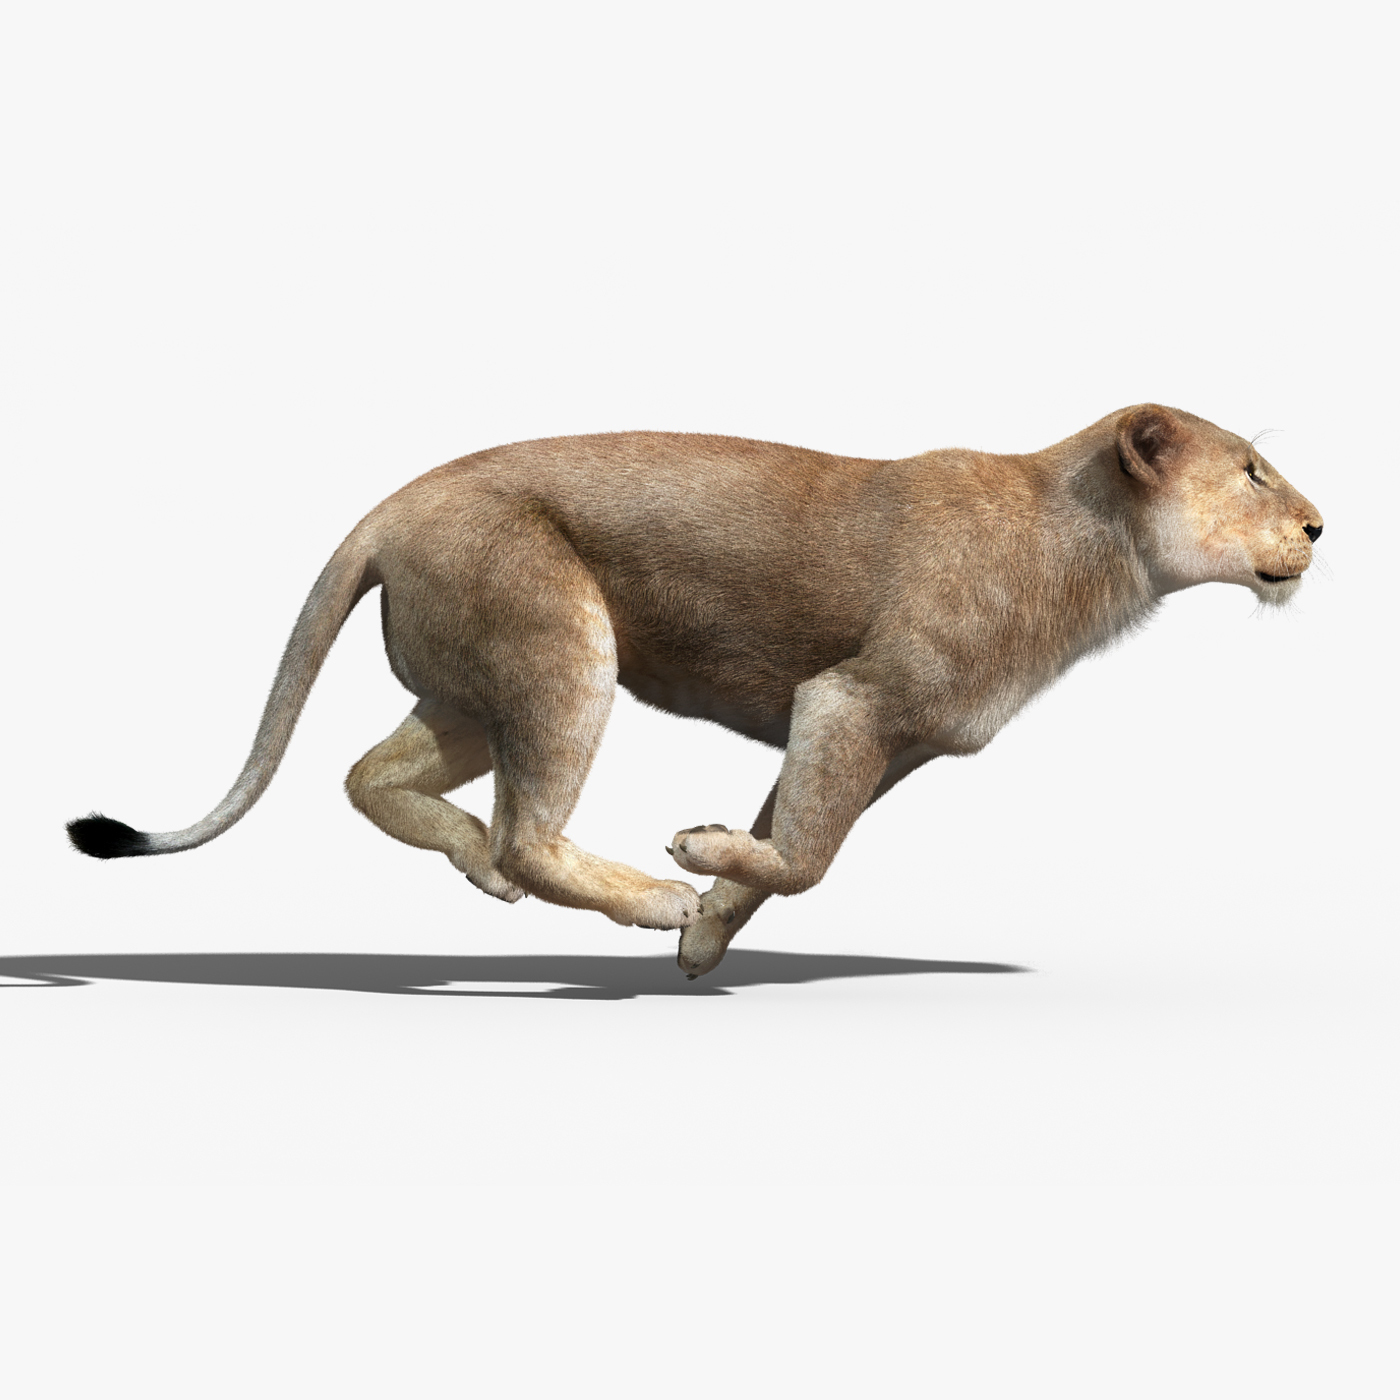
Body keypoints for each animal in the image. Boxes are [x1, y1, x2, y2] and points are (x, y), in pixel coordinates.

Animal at [67, 404, 1323, 977]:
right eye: (1252, 470)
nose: (1319, 525)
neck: (1094, 550)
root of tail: (387, 505)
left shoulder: (871, 733)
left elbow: (786, 848)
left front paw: (711, 933)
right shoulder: (852, 699)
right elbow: (806, 859)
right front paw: (692, 876)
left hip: (470, 690)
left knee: (365, 774)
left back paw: (479, 866)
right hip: (559, 645)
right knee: (528, 825)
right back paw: (629, 891)